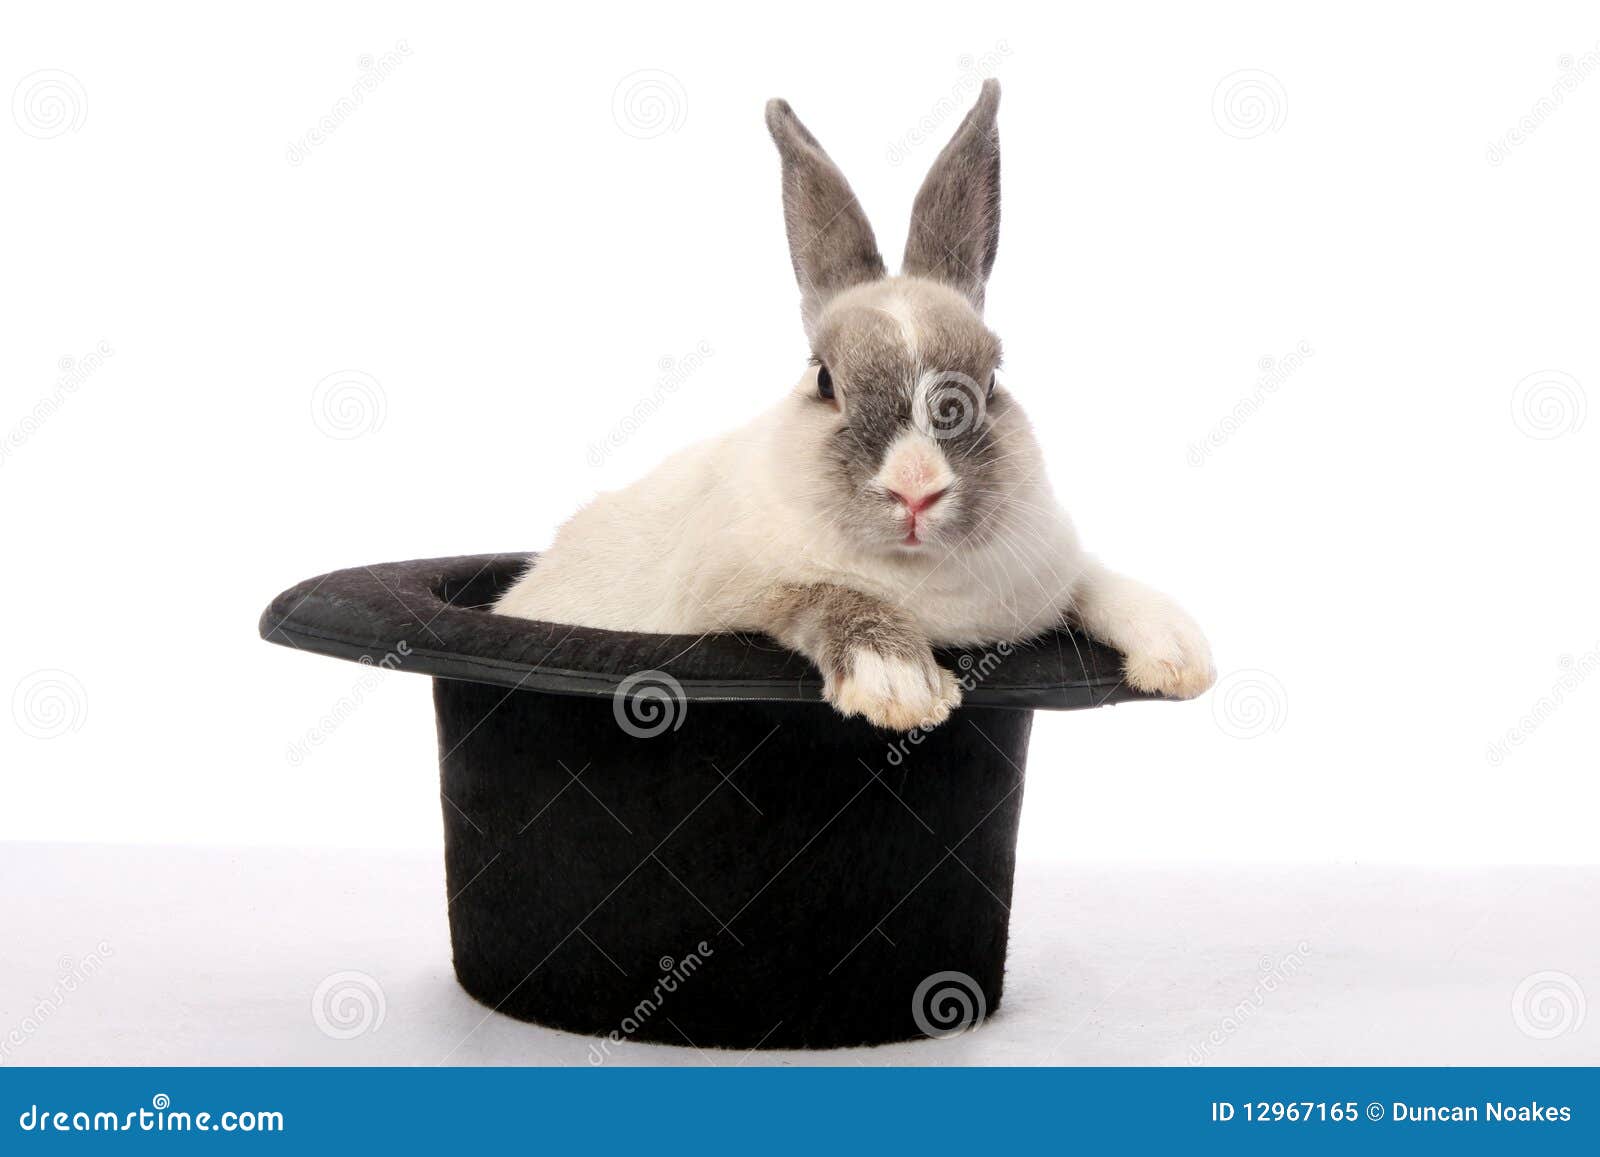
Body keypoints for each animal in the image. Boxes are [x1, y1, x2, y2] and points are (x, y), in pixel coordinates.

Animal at [495, 79, 1214, 730]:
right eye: (824, 381)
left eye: (990, 381)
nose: (916, 488)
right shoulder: (741, 592)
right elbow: (828, 594)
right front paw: (900, 685)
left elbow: (1094, 579)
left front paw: (1179, 653)